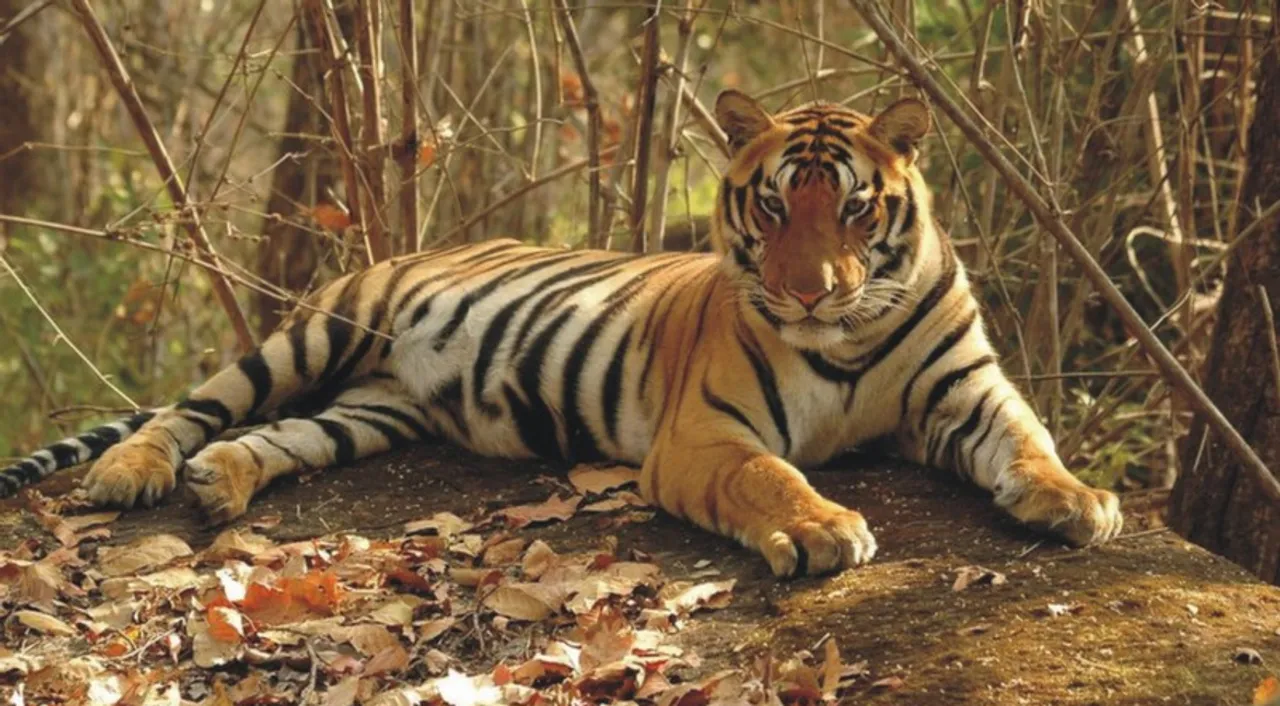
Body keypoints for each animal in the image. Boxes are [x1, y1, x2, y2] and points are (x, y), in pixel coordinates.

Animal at [0, 91, 1122, 577]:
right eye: (771, 207)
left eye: (850, 208)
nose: (807, 294)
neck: (844, 339)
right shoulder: (705, 434)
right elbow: (772, 476)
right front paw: (820, 529)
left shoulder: (964, 392)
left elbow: (1029, 440)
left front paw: (1078, 502)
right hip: (316, 331)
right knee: (198, 406)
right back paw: (134, 473)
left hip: (372, 412)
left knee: (271, 437)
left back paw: (218, 485)